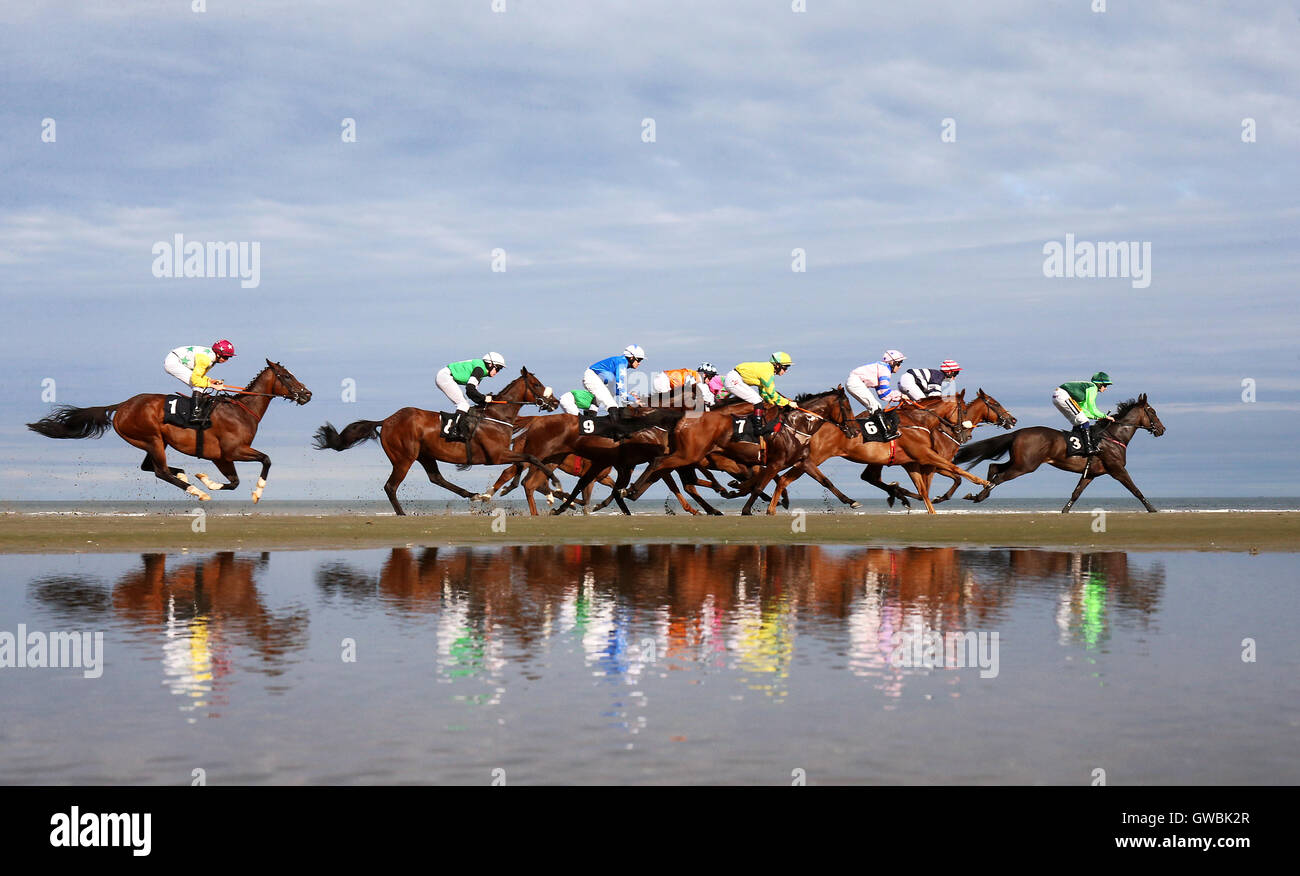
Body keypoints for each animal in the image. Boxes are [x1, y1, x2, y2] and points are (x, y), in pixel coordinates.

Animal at [27, 360, 312, 502]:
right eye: (287, 376)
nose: (307, 394)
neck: (240, 411)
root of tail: (121, 406)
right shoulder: (233, 451)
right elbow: (266, 460)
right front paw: (256, 492)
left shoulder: (221, 457)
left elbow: (233, 483)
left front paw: (204, 478)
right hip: (151, 438)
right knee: (160, 471)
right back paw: (195, 491)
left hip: (154, 442)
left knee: (150, 467)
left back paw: (186, 476)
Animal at [312, 367, 560, 515]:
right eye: (536, 384)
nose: (555, 402)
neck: (496, 417)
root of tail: (387, 420)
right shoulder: (496, 455)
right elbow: (531, 457)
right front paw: (553, 484)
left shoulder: (502, 455)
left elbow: (523, 462)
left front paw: (504, 489)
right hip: (404, 458)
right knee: (391, 486)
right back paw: (402, 514)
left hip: (425, 455)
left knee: (436, 478)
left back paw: (472, 495)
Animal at [955, 394, 1165, 512]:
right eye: (1153, 411)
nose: (1162, 429)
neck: (1113, 437)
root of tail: (1018, 432)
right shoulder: (1117, 469)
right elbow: (1135, 489)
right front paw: (1152, 508)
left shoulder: (1091, 473)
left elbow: (1076, 493)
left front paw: (1065, 511)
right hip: (1025, 465)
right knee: (999, 477)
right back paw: (980, 496)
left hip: (1020, 462)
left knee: (994, 467)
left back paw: (979, 495)